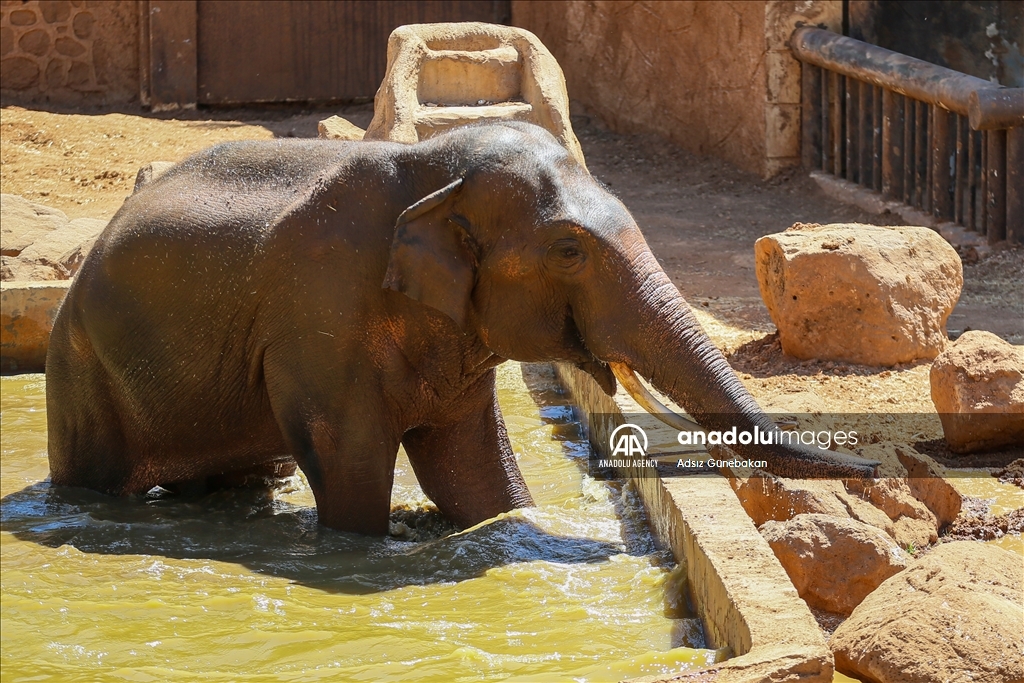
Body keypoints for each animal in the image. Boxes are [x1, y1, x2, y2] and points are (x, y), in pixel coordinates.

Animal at [46, 122, 877, 535]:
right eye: (569, 251)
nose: (879, 467)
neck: (425, 168)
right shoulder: (318, 323)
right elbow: (354, 472)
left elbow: (472, 469)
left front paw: (502, 523)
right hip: (82, 365)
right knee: (95, 473)